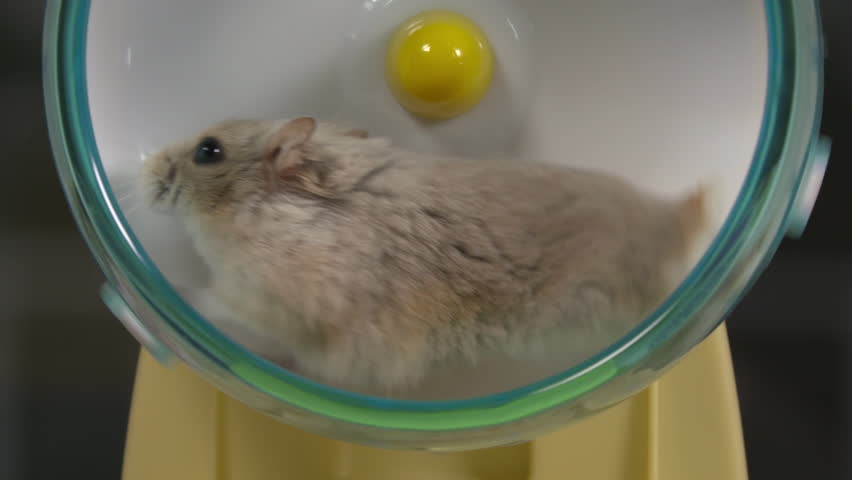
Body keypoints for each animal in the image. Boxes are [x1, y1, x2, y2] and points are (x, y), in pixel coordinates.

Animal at [141, 116, 709, 393]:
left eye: (208, 151)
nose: (148, 166)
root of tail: (669, 217)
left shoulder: (277, 305)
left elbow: (218, 308)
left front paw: (175, 298)